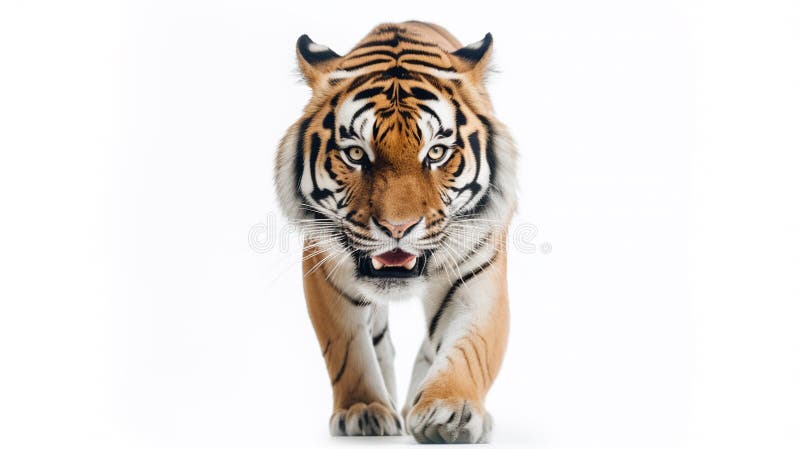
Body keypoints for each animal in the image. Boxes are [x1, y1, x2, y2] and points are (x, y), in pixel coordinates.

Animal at [274, 21, 517, 443]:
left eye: (436, 153)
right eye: (356, 154)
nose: (397, 227)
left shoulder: (478, 278)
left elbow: (471, 349)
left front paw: (449, 412)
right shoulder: (325, 272)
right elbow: (349, 350)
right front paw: (362, 409)